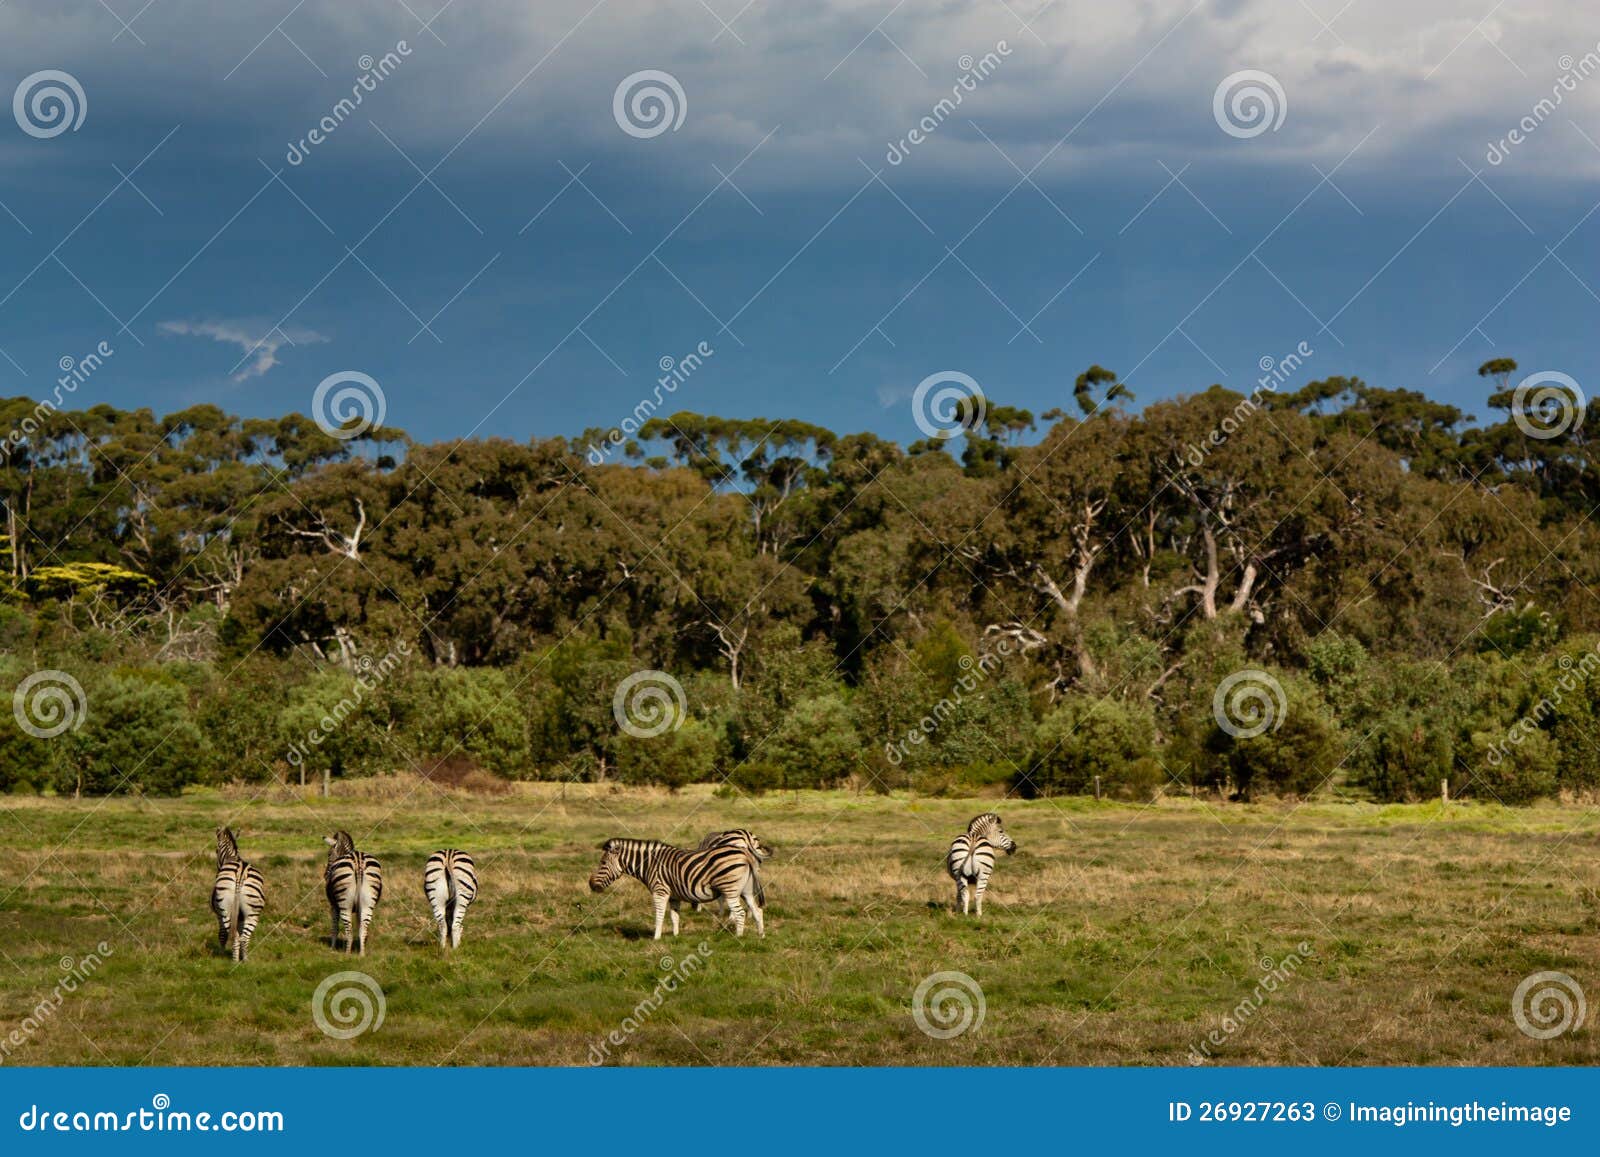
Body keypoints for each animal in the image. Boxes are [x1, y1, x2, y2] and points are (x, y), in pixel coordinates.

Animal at [210, 827, 265, 962]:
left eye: (216, 850)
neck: (231, 857)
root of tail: (241, 871)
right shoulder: (240, 916)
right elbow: (240, 934)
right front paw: (240, 955)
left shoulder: (218, 914)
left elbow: (222, 934)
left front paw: (221, 954)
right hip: (253, 911)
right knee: (244, 937)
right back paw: (244, 960)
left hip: (225, 908)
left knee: (233, 935)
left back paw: (234, 961)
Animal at [588, 837, 763, 939]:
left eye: (603, 863)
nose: (591, 884)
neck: (649, 864)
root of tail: (744, 853)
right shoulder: (674, 896)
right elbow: (674, 917)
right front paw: (675, 936)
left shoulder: (660, 891)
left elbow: (659, 915)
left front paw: (656, 938)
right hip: (746, 891)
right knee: (757, 910)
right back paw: (761, 935)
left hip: (730, 890)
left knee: (740, 913)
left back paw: (738, 938)